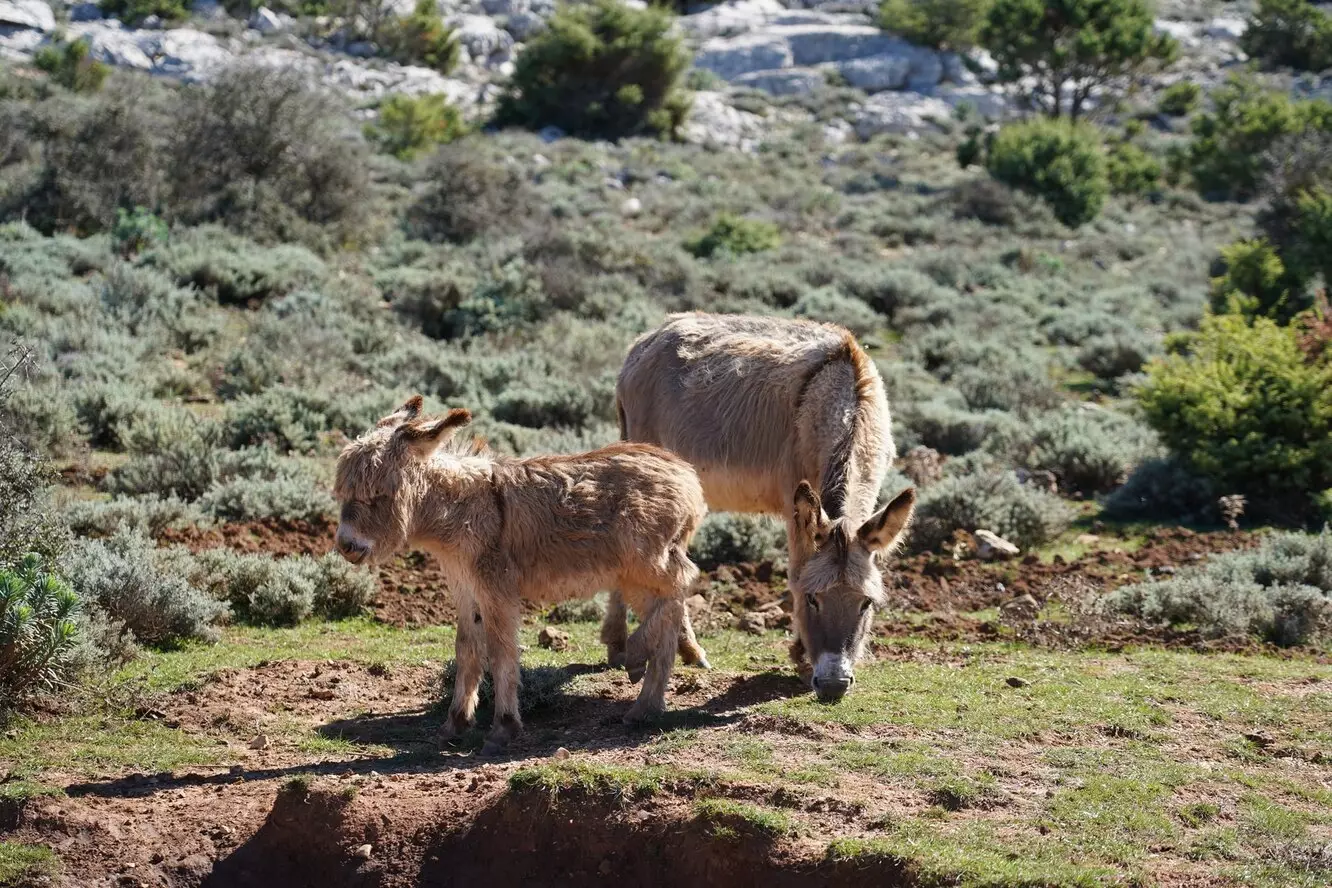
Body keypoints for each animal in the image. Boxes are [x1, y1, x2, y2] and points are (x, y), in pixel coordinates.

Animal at [333, 399, 708, 756]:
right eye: (343, 494)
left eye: (379, 494)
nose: (346, 546)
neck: (460, 511)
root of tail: (685, 474)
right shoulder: (465, 588)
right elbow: (467, 649)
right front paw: (454, 725)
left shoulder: (495, 589)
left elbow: (501, 652)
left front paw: (503, 727)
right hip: (635, 576)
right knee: (666, 611)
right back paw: (647, 704)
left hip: (643, 561)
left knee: (683, 583)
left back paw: (636, 658)